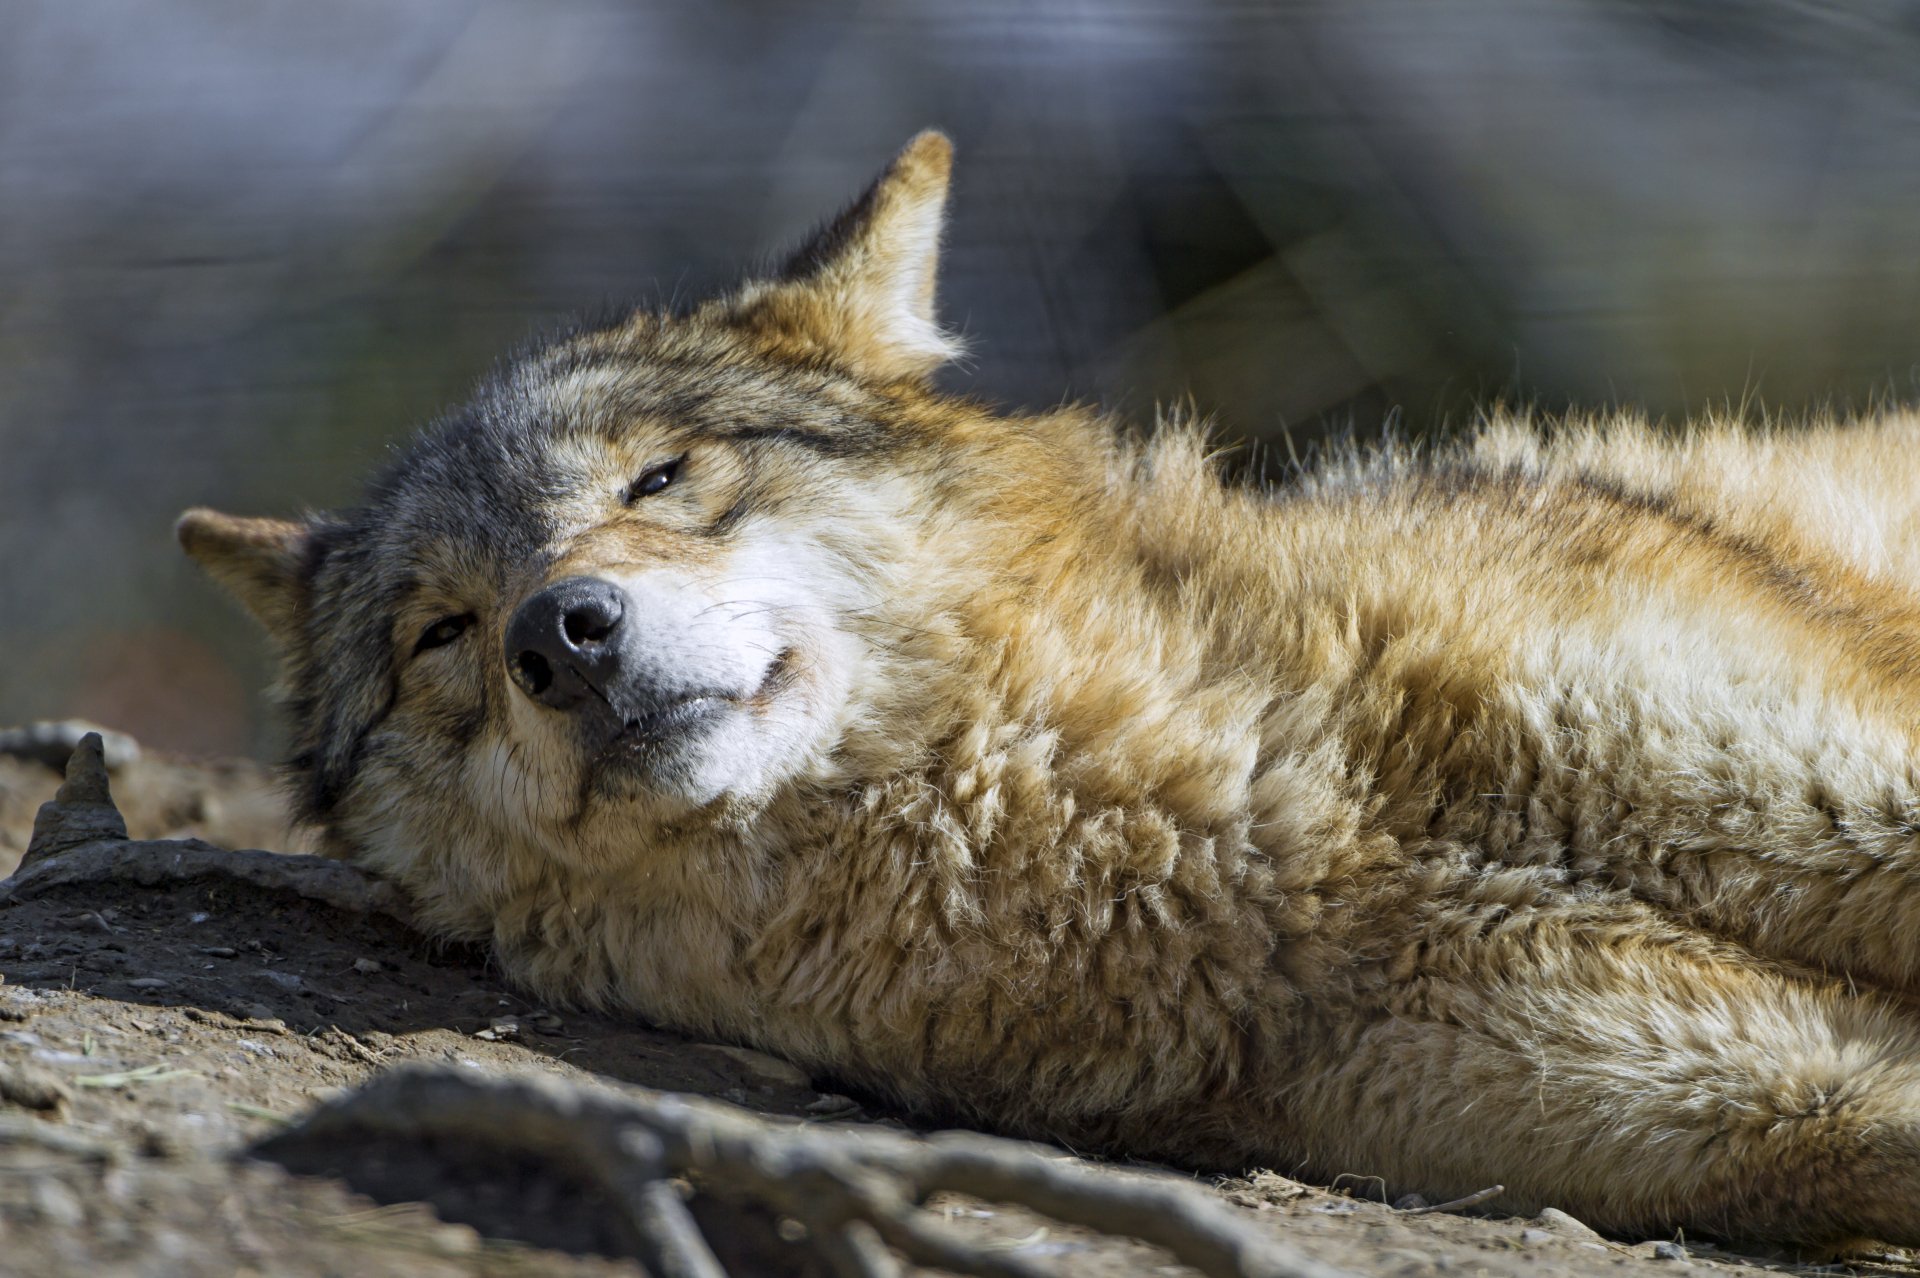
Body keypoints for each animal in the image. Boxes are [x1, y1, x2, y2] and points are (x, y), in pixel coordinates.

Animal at [179, 132, 1920, 1247]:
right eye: (444, 634)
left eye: (659, 477)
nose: (563, 633)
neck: (1266, 816)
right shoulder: (1761, 1095)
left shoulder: (1861, 792)